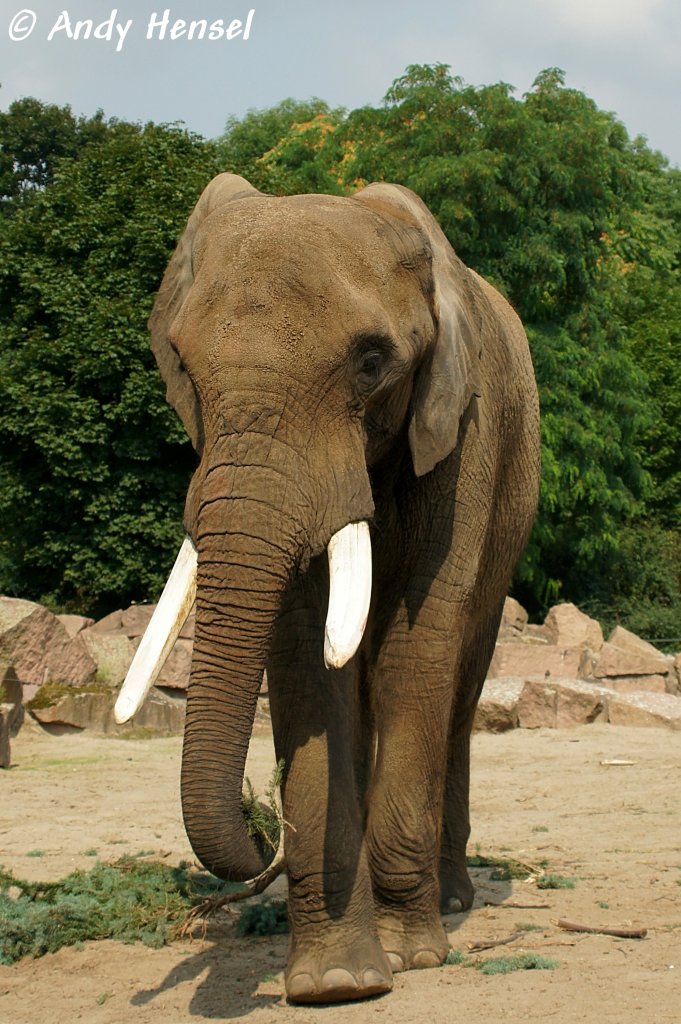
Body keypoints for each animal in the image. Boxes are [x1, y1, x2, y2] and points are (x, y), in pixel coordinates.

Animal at [115, 173, 540, 1004]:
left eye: (372, 363)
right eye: (181, 365)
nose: (257, 833)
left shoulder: (461, 434)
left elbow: (418, 643)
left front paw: (407, 957)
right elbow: (306, 658)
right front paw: (336, 981)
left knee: (458, 684)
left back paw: (450, 901)